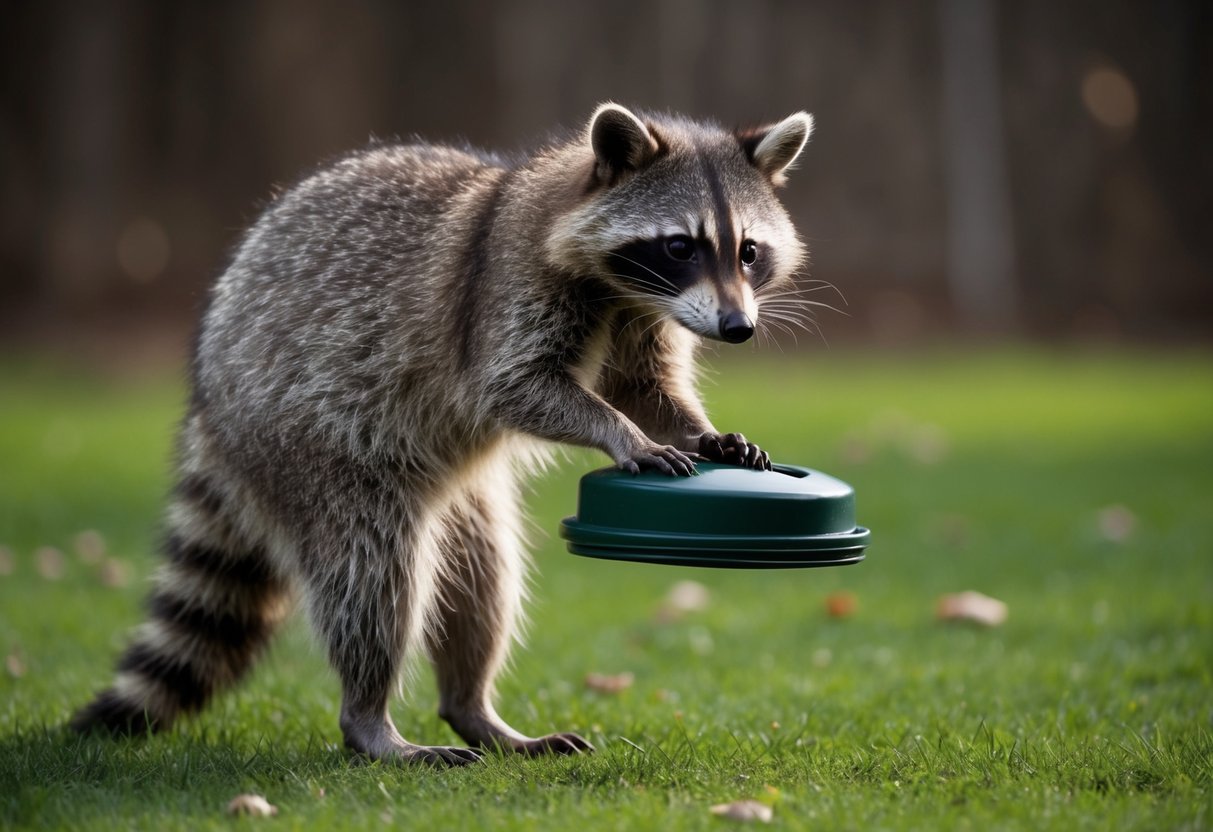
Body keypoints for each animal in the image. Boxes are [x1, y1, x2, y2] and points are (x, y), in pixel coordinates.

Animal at [71, 104, 815, 765]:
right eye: (680, 246)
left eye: (748, 251)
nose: (738, 328)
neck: (616, 284)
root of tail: (207, 398)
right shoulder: (505, 290)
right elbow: (512, 386)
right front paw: (622, 434)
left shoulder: (644, 313)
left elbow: (644, 388)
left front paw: (703, 435)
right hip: (304, 440)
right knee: (373, 576)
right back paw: (370, 720)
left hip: (457, 495)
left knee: (481, 581)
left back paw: (473, 708)